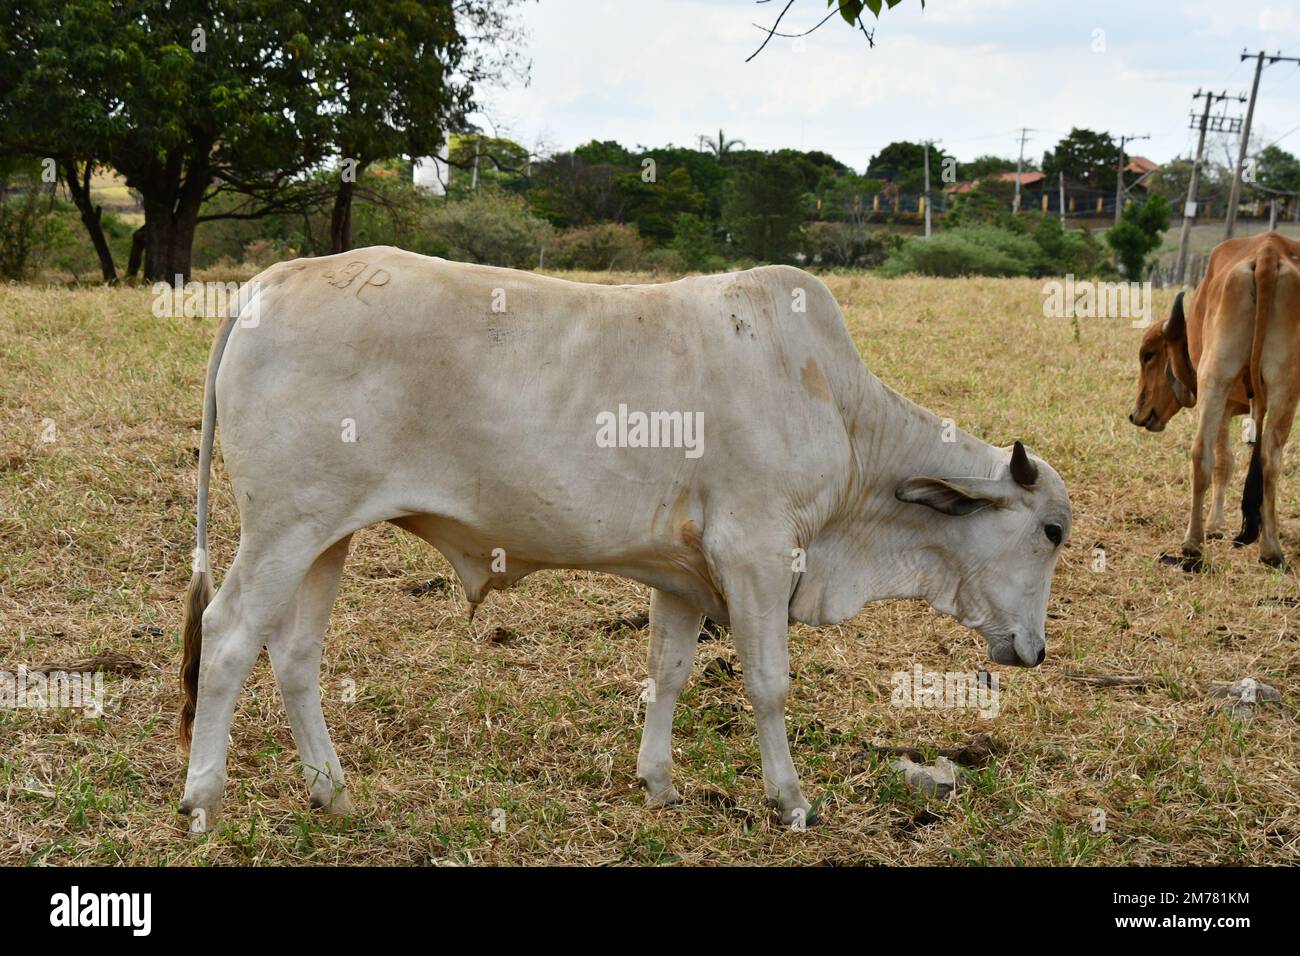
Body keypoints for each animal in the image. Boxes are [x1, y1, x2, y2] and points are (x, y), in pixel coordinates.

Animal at [178, 248, 1072, 828]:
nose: (1033, 651)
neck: (841, 413)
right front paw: (790, 800)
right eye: (1053, 531)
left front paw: (660, 782)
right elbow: (769, 684)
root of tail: (267, 283)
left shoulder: (683, 575)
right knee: (227, 636)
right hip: (283, 526)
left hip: (325, 535)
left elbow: (667, 675)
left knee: (293, 655)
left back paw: (331, 791)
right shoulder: (756, 552)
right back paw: (203, 800)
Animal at [1129, 231, 1300, 566]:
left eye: (1148, 355)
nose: (1135, 414)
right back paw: (1271, 549)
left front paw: (1216, 525)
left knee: (1202, 455)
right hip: (1283, 383)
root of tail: (1269, 251)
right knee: (1270, 462)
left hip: (1215, 377)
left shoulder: (1225, 405)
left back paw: (1192, 544)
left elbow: (1223, 463)